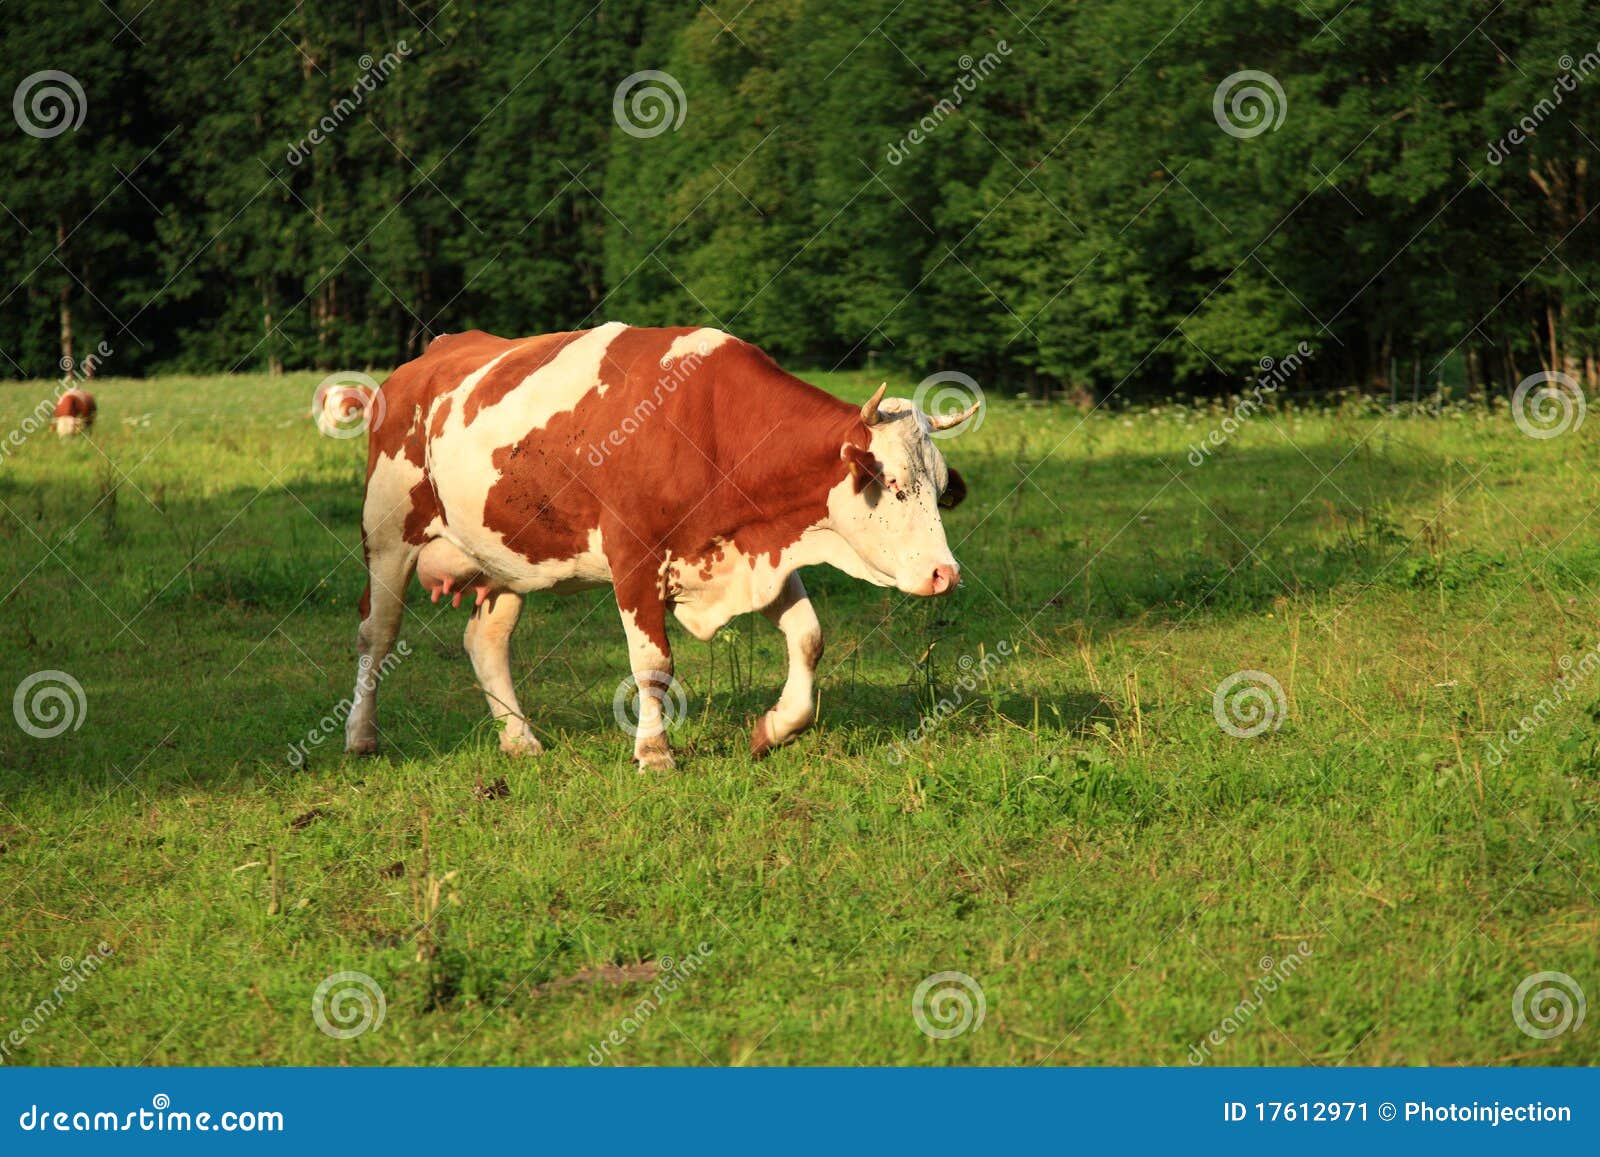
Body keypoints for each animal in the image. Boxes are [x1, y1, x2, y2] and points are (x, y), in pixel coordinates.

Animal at [344, 323, 976, 770]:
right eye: (893, 484)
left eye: (940, 488)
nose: (946, 574)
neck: (710, 425)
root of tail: (423, 361)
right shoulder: (634, 556)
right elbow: (653, 664)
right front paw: (654, 752)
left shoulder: (756, 552)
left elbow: (809, 638)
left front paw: (775, 729)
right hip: (388, 534)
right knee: (377, 634)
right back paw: (360, 735)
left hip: (508, 553)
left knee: (486, 641)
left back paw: (519, 739)